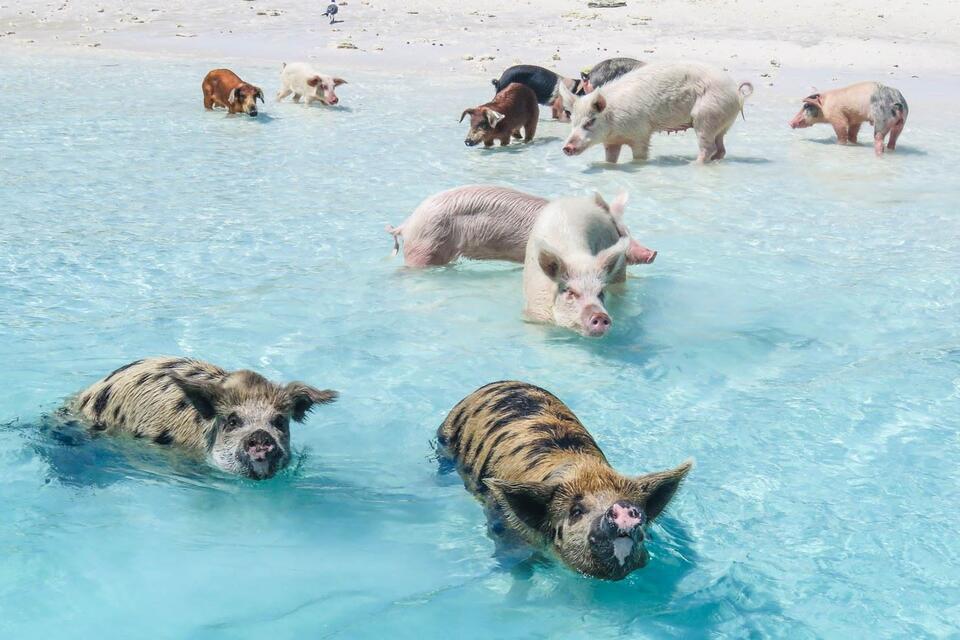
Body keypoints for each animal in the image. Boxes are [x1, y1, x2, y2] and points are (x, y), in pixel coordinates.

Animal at [437, 380, 692, 581]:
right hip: (445, 439)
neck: (581, 470)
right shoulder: (500, 523)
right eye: (576, 511)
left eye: (636, 505)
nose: (621, 506)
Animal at [560, 62, 754, 164]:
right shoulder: (611, 142)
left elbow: (640, 155)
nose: (567, 147)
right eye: (572, 122)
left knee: (708, 147)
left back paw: (693, 164)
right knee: (721, 148)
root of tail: (736, 91)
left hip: (706, 116)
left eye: (590, 121)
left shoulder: (641, 133)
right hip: (722, 121)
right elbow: (610, 159)